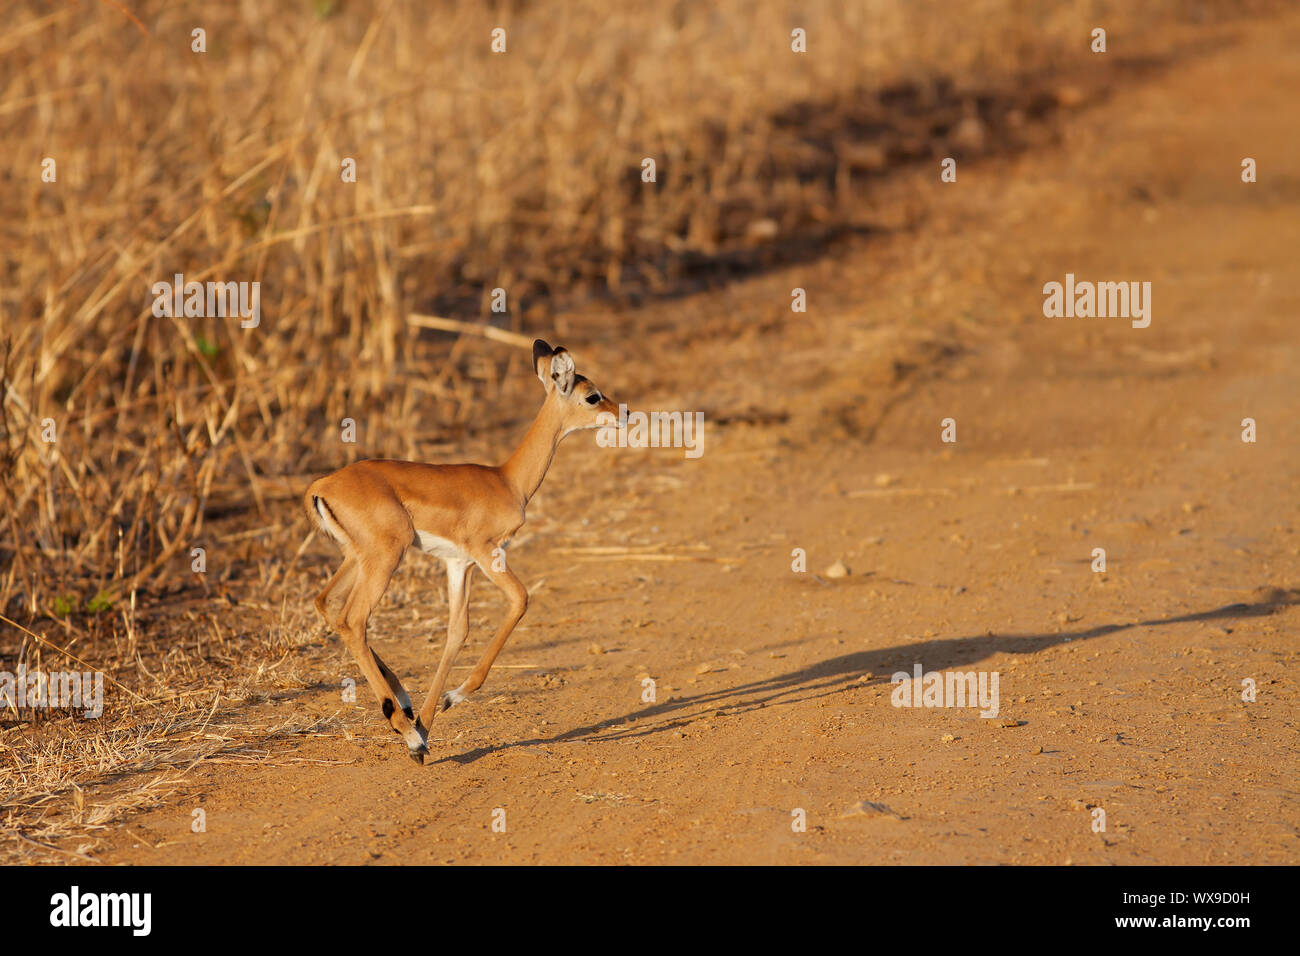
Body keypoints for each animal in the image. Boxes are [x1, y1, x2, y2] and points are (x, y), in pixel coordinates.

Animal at [304, 340, 619, 762]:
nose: (623, 413)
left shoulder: (459, 563)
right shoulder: (487, 553)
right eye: (592, 395)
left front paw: (429, 720)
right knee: (353, 619)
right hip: (385, 556)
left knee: (328, 604)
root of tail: (322, 485)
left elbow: (457, 630)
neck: (507, 481)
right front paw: (449, 703)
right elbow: (520, 600)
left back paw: (407, 712)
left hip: (357, 557)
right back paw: (408, 733)